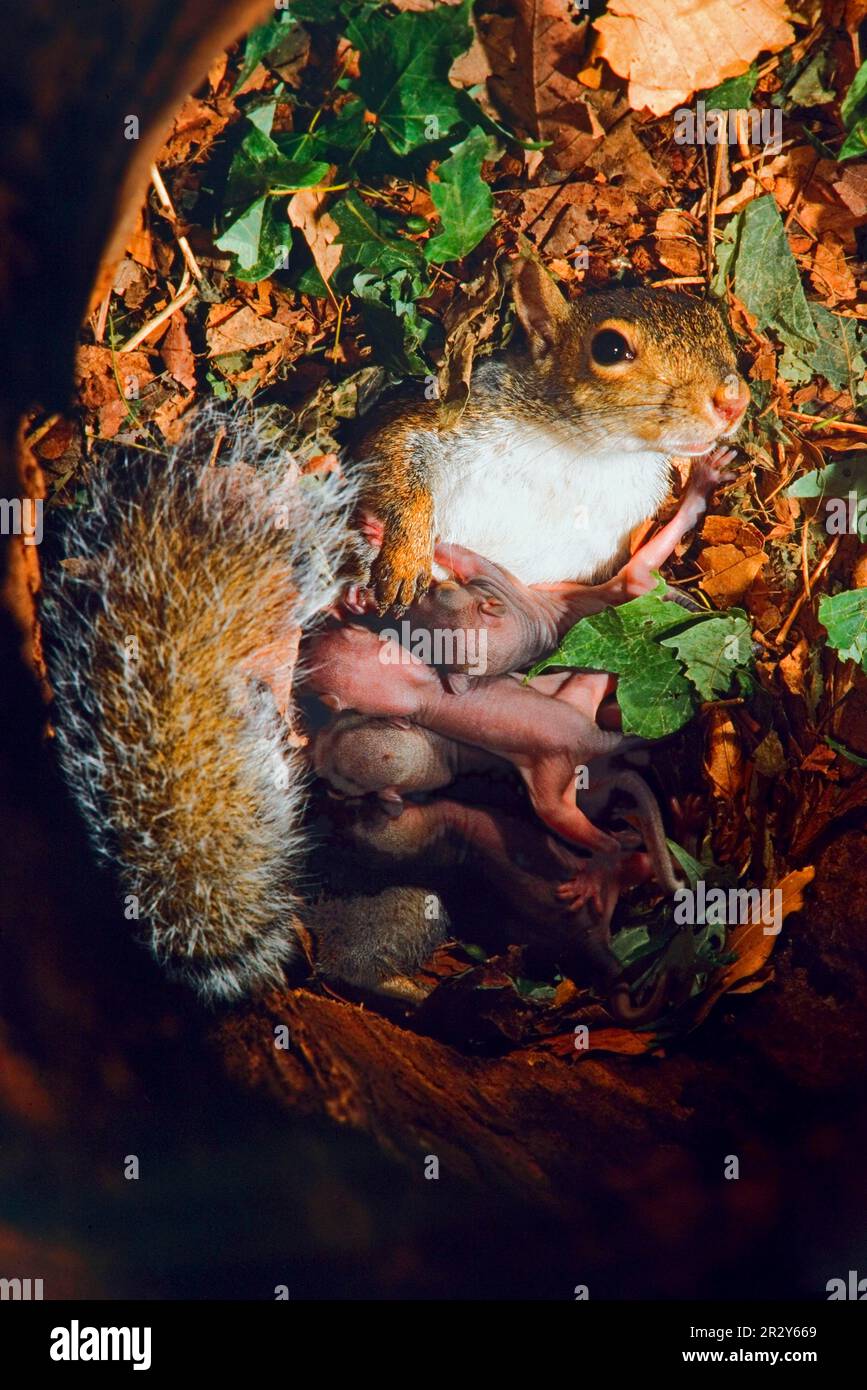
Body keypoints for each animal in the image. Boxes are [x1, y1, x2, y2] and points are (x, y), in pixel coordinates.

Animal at [42, 263, 747, 1011]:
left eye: (713, 319)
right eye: (609, 348)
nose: (733, 399)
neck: (589, 456)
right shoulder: (448, 420)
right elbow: (397, 461)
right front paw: (406, 552)